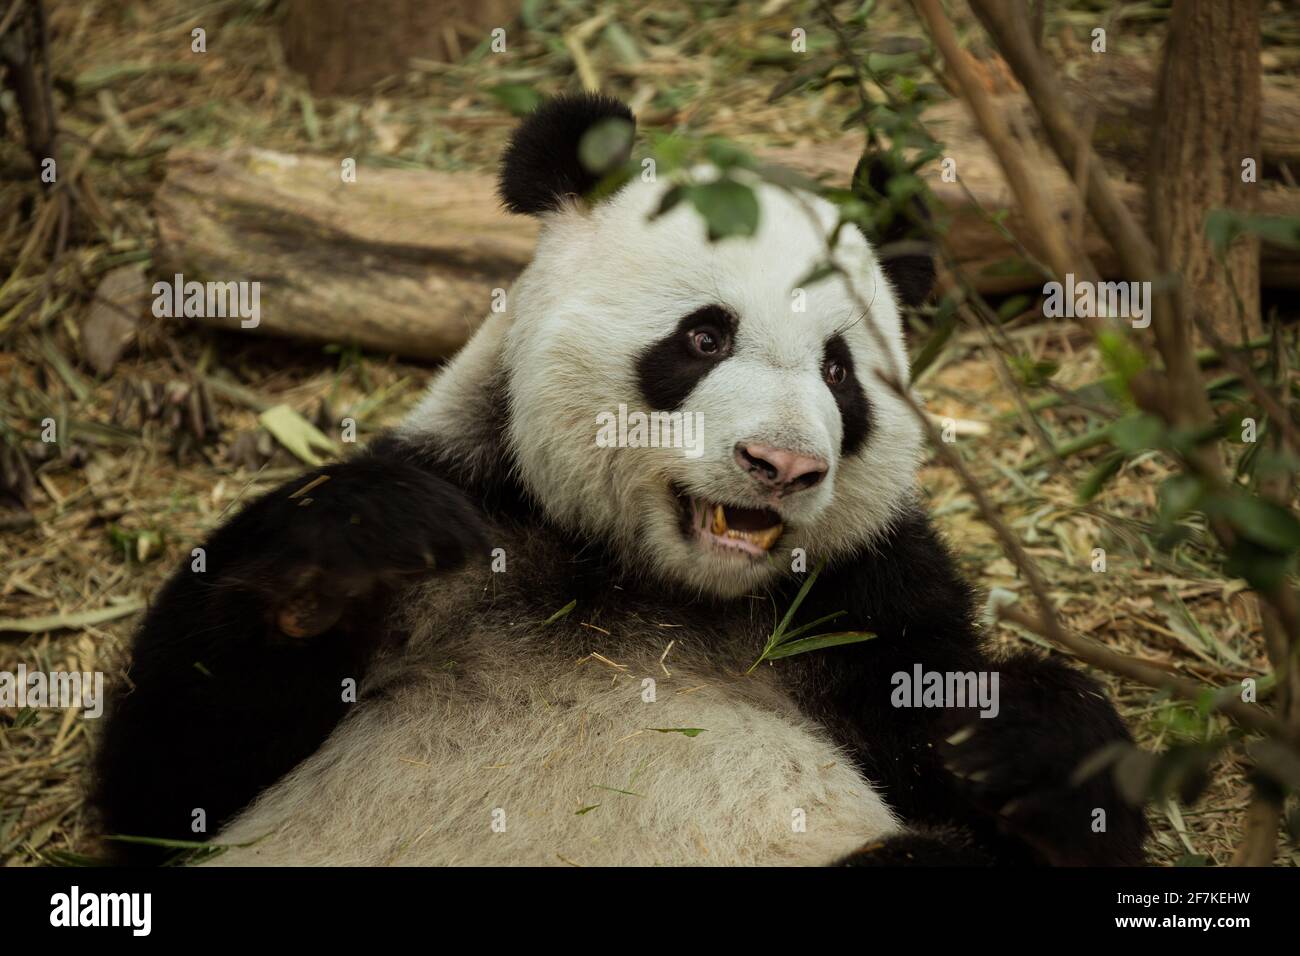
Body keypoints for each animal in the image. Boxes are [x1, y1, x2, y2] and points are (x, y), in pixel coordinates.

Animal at [92, 94, 1147, 867]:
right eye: (704, 336)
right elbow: (166, 780)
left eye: (841, 371)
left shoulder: (860, 596)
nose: (783, 466)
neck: (637, 583)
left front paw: (1029, 742)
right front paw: (346, 553)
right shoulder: (475, 508)